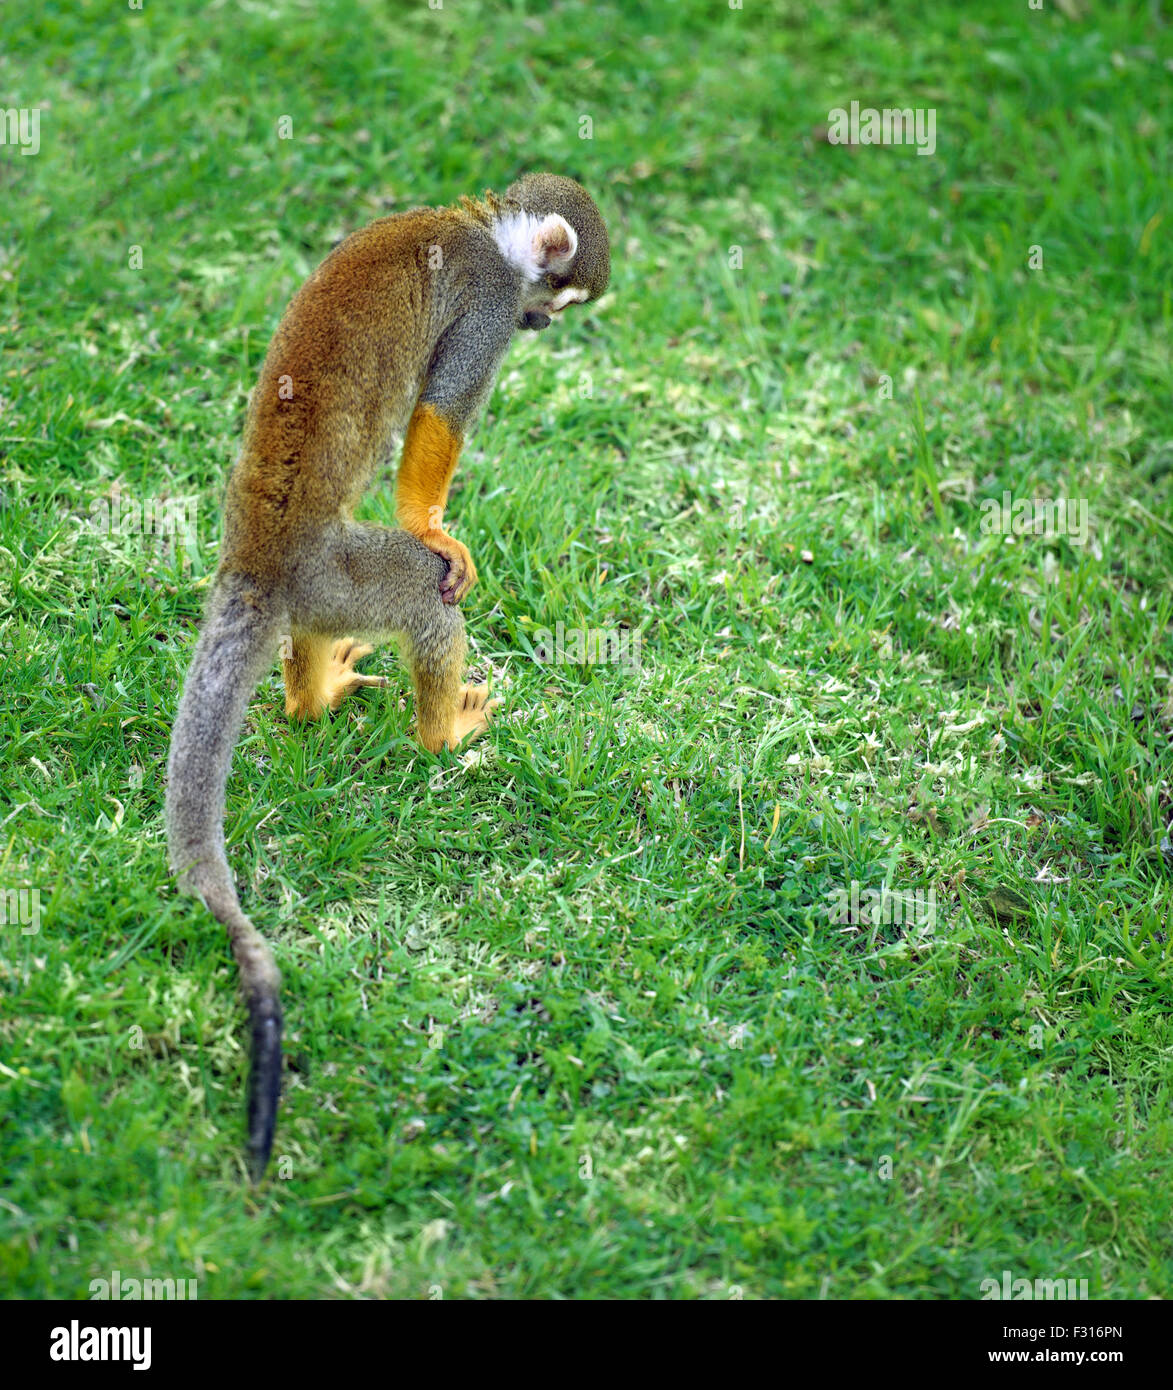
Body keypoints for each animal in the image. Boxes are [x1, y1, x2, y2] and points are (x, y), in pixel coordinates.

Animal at [164, 173, 610, 1179]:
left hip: (318, 586)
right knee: (427, 603)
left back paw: (309, 694)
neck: (482, 227)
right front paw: (435, 526)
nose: (542, 327)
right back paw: (441, 736)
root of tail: (255, 558)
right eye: (553, 301)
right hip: (343, 570)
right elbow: (438, 417)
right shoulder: (485, 300)